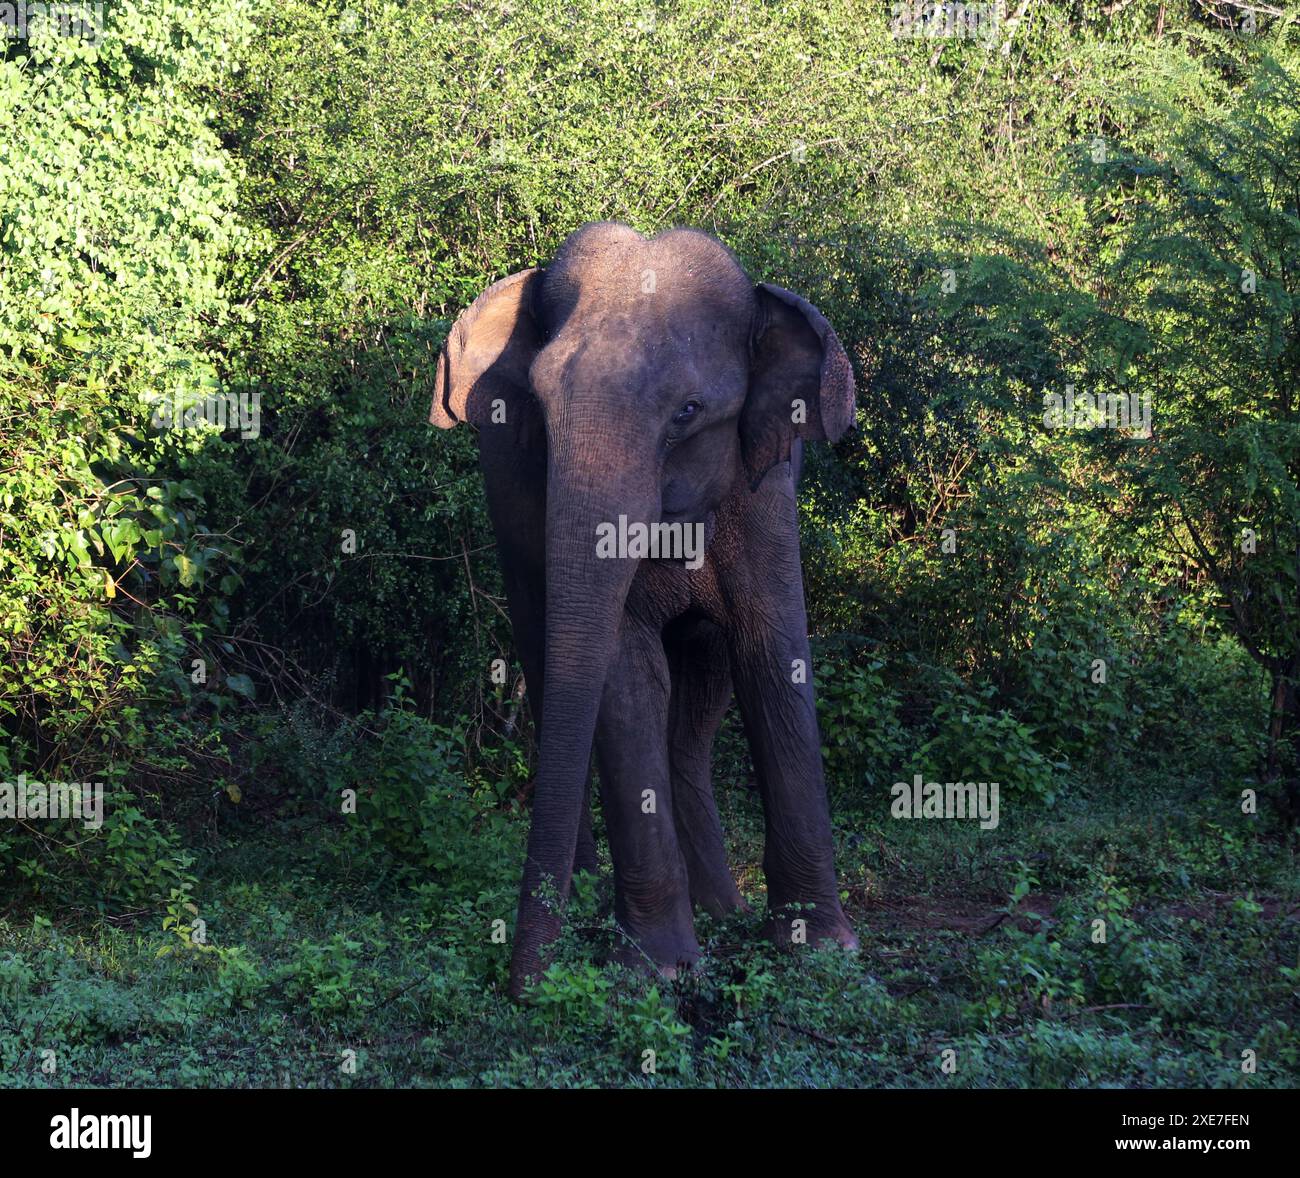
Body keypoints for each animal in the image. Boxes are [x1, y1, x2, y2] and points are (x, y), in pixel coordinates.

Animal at [430, 221, 860, 997]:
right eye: (540, 404)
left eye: (687, 413)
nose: (523, 986)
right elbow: (624, 673)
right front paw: (659, 968)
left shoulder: (764, 492)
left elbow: (772, 654)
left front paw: (819, 951)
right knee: (554, 666)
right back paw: (595, 904)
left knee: (697, 702)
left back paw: (720, 912)